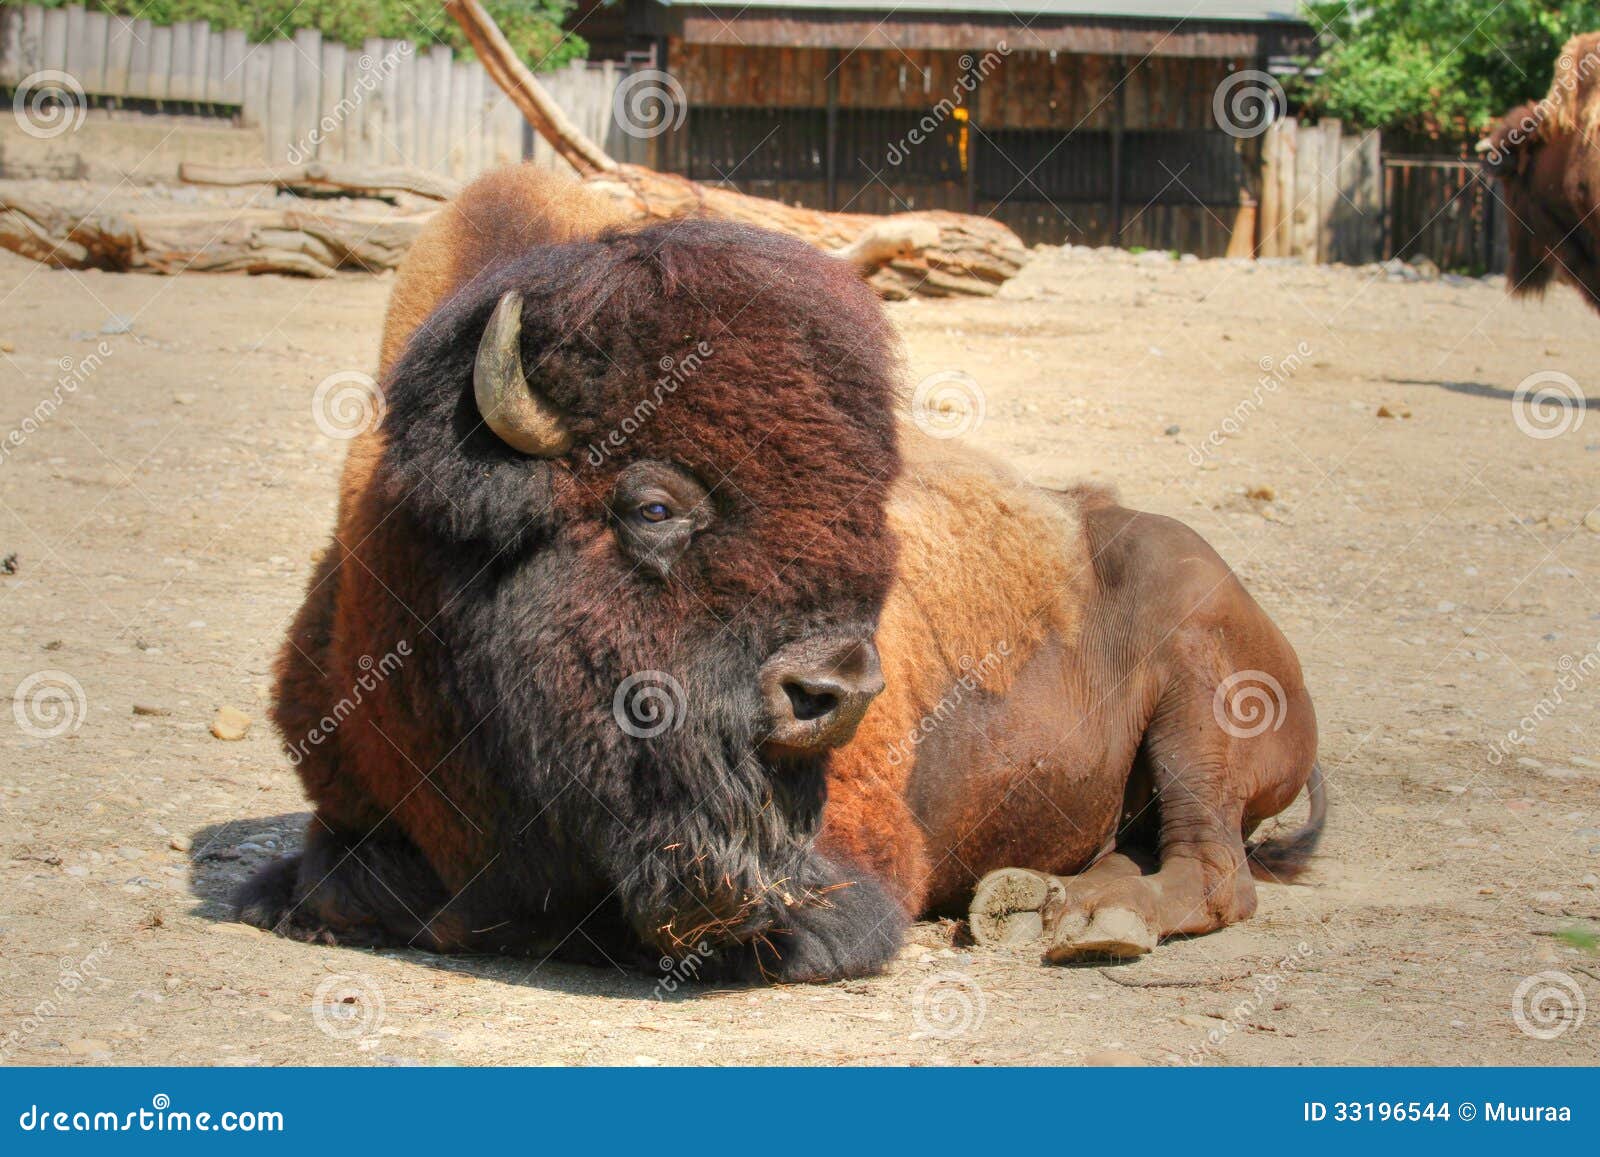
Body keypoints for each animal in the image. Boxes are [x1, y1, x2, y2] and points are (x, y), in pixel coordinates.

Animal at [238, 166, 1323, 981]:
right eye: (653, 506)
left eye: (866, 509)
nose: (835, 690)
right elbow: (326, 882)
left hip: (1201, 720)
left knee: (1211, 868)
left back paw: (1075, 918)